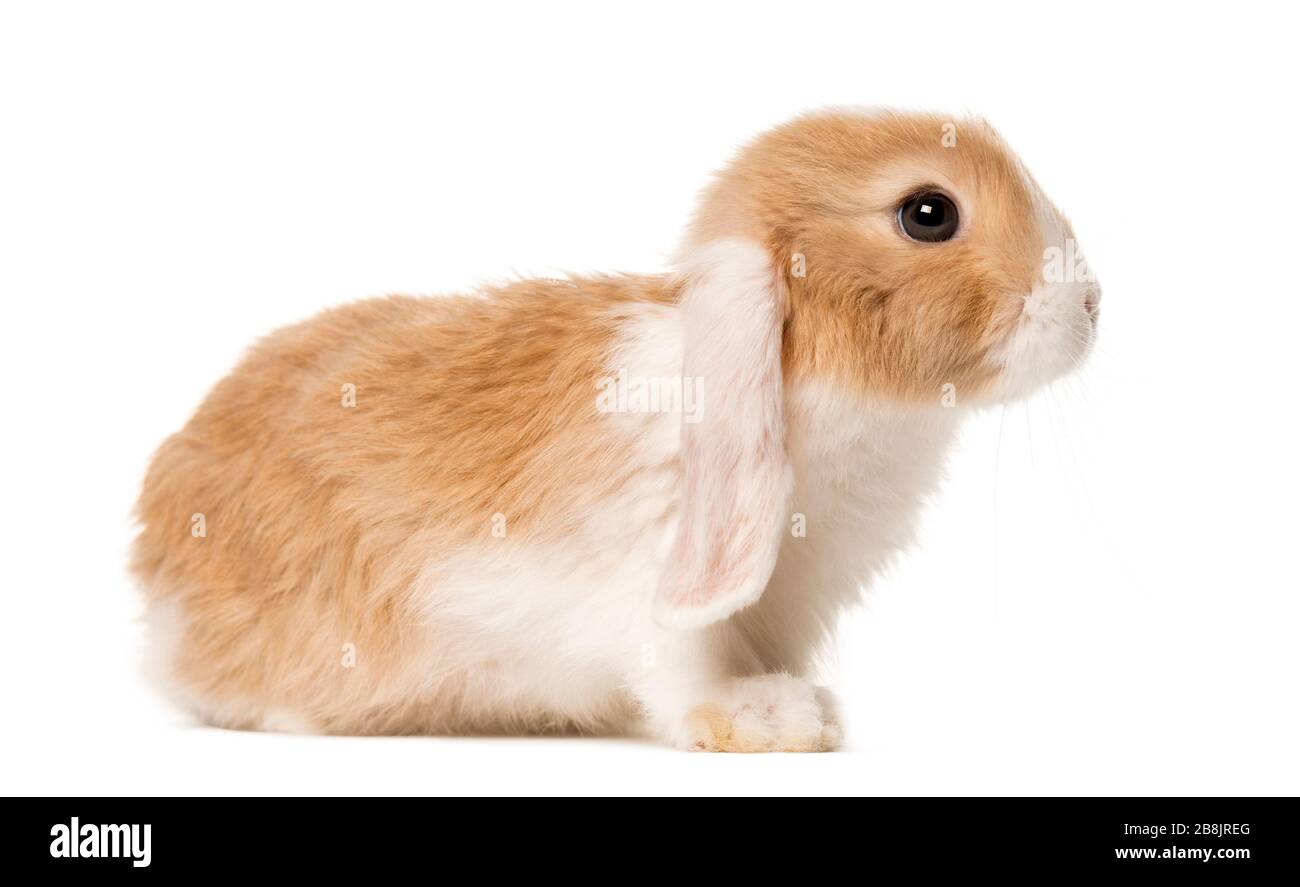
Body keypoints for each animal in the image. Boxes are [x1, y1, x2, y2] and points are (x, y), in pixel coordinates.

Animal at [132, 109, 1098, 751]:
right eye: (928, 213)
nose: (1090, 304)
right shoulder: (654, 573)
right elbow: (679, 670)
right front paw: (769, 717)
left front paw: (811, 704)